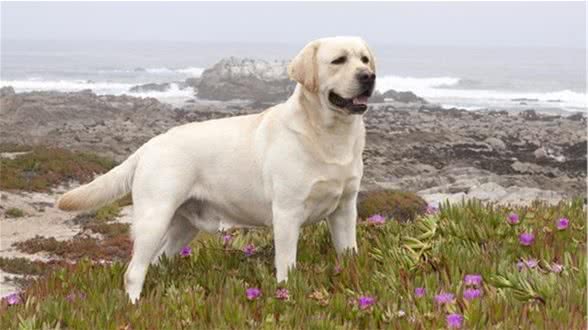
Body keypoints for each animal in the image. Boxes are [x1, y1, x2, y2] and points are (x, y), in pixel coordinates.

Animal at [58, 36, 376, 302]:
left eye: (364, 59)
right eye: (338, 60)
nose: (368, 77)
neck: (330, 135)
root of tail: (148, 146)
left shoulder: (345, 209)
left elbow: (349, 252)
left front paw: (354, 277)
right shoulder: (287, 213)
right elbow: (287, 265)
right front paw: (286, 292)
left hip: (183, 226)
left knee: (158, 260)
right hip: (154, 217)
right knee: (133, 271)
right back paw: (134, 307)